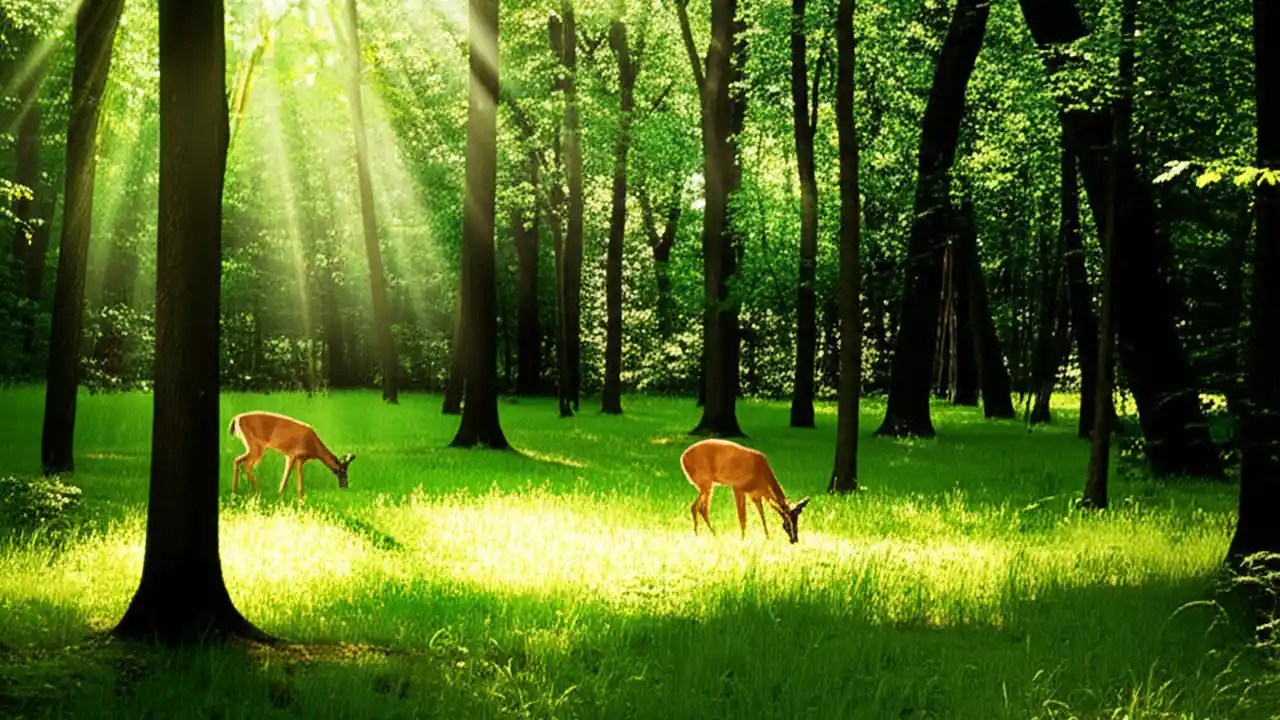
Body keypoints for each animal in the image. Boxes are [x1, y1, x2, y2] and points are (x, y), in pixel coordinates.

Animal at [680, 438, 811, 543]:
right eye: (787, 523)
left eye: (797, 521)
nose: (794, 540)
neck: (762, 475)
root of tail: (682, 459)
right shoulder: (738, 486)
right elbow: (743, 518)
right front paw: (743, 539)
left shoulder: (756, 494)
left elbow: (762, 516)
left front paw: (768, 538)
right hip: (705, 482)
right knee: (696, 507)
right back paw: (709, 535)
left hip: (707, 485)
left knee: (701, 508)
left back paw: (708, 535)